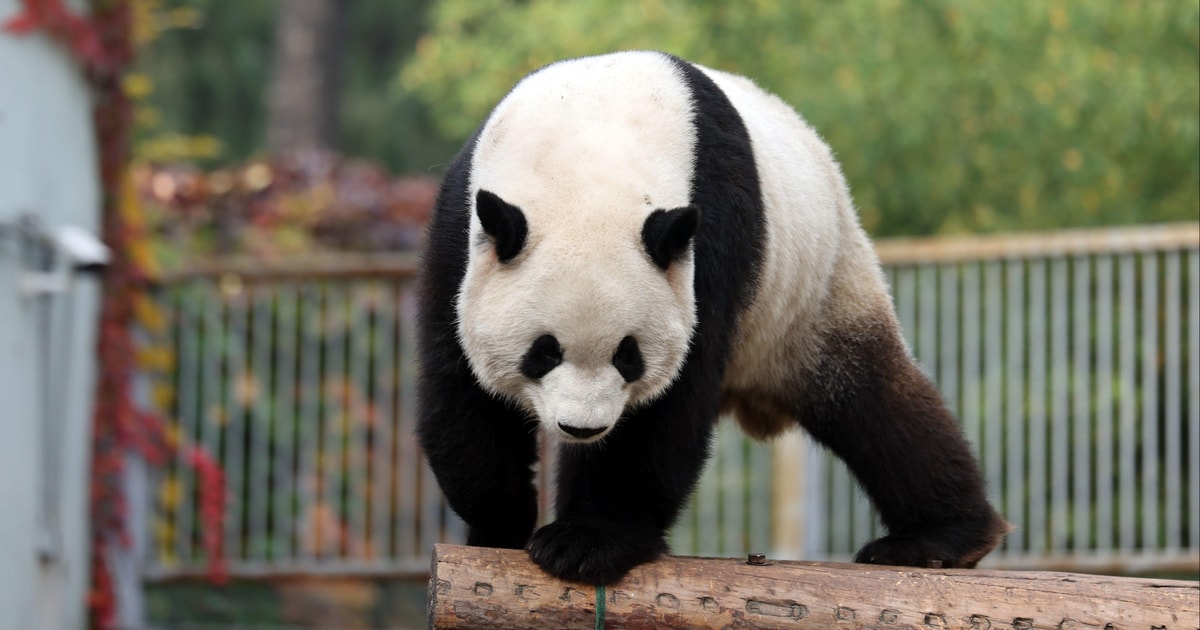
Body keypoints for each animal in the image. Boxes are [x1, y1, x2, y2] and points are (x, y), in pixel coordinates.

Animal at [416, 51, 1008, 585]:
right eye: (544, 351)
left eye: (628, 355)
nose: (583, 428)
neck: (585, 152)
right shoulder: (461, 232)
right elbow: (459, 386)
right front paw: (499, 526)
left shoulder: (710, 240)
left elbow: (667, 405)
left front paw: (587, 541)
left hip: (815, 289)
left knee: (874, 403)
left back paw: (939, 539)